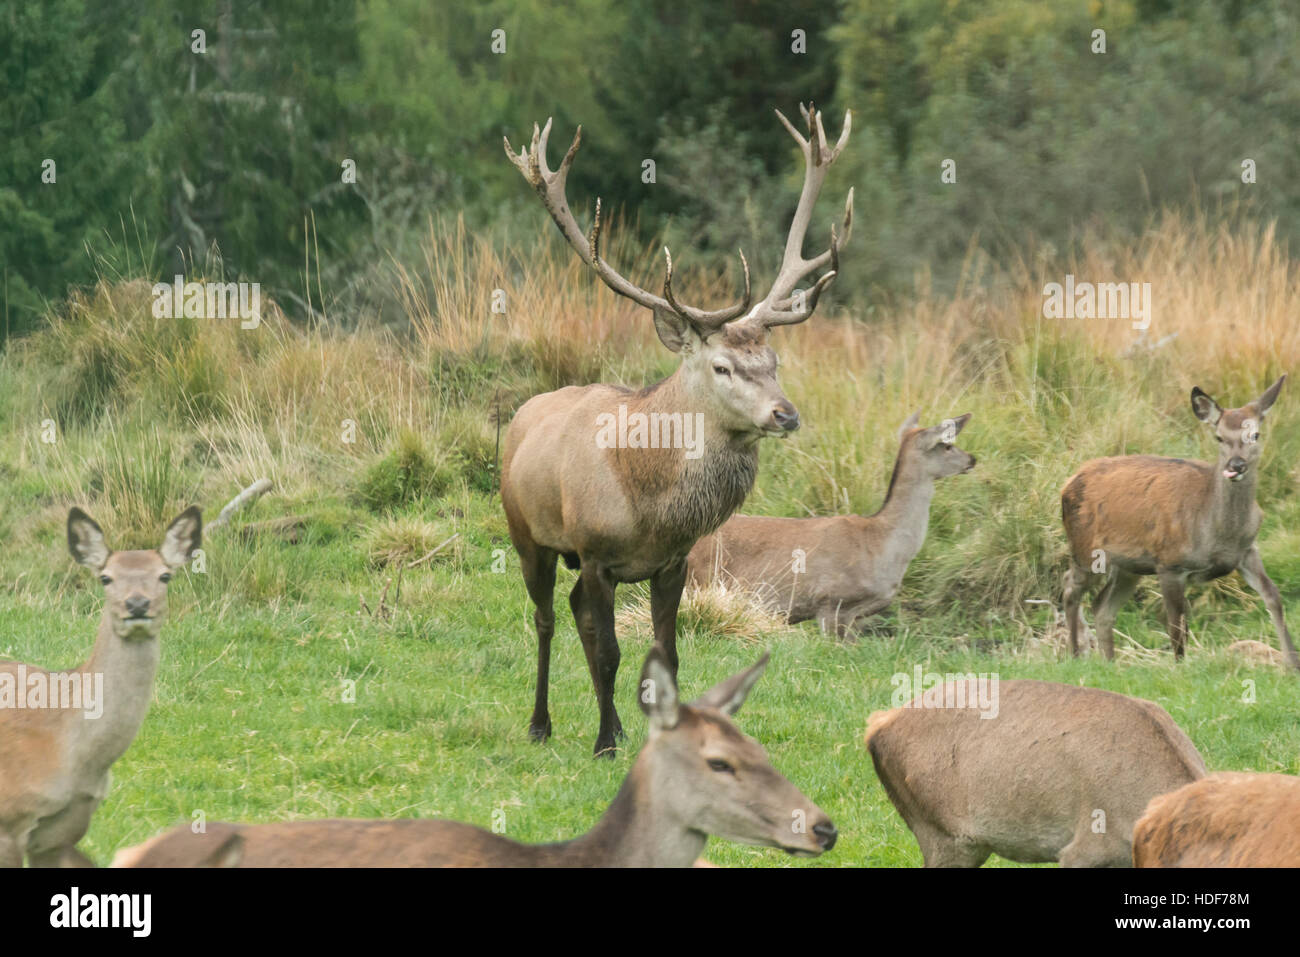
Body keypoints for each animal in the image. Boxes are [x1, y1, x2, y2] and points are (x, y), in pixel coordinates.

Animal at [501, 104, 853, 756]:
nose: (785, 414)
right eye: (722, 366)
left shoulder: (674, 561)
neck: (649, 507)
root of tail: (522, 413)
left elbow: (666, 655)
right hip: (528, 534)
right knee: (546, 618)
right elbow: (611, 650)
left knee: (573, 614)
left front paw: (652, 735)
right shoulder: (595, 551)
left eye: (774, 361)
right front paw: (606, 743)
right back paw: (541, 723)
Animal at [1061, 375, 1299, 669]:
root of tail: (1068, 481)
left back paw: (1110, 662)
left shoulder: (1248, 550)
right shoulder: (1170, 562)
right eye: (1219, 436)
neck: (1219, 534)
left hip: (1129, 567)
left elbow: (1273, 596)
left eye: (1255, 434)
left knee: (1101, 605)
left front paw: (1293, 663)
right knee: (1070, 587)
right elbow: (1176, 621)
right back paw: (1075, 654)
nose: (1236, 465)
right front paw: (1180, 666)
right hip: (1085, 549)